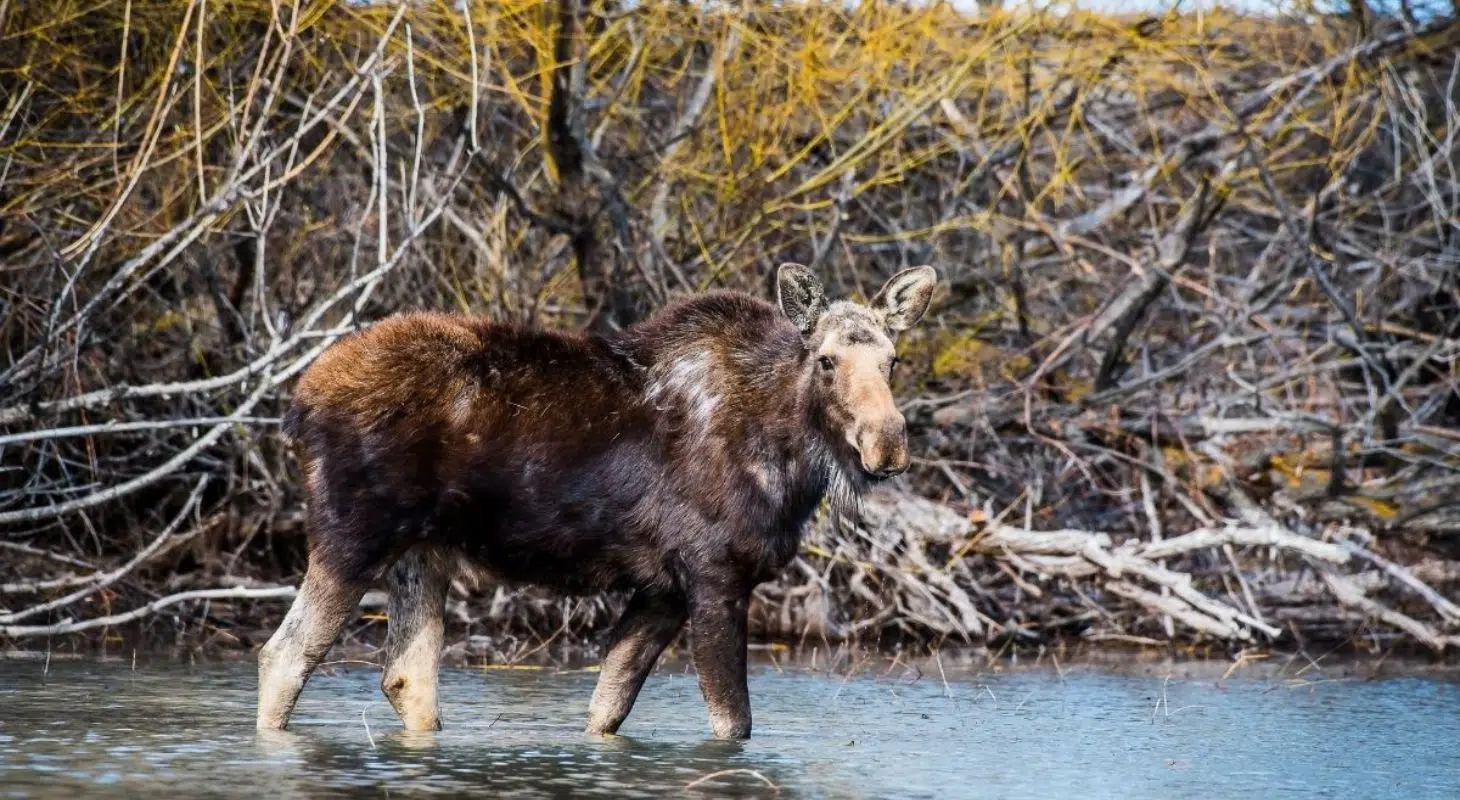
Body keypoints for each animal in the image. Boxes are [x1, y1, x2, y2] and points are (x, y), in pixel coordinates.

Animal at [255, 263, 939, 740]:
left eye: (893, 360)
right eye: (826, 360)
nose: (886, 442)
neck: (791, 460)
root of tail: (300, 403)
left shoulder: (662, 588)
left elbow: (607, 704)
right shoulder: (715, 573)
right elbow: (732, 722)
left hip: (424, 552)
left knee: (407, 675)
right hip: (351, 537)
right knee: (283, 656)